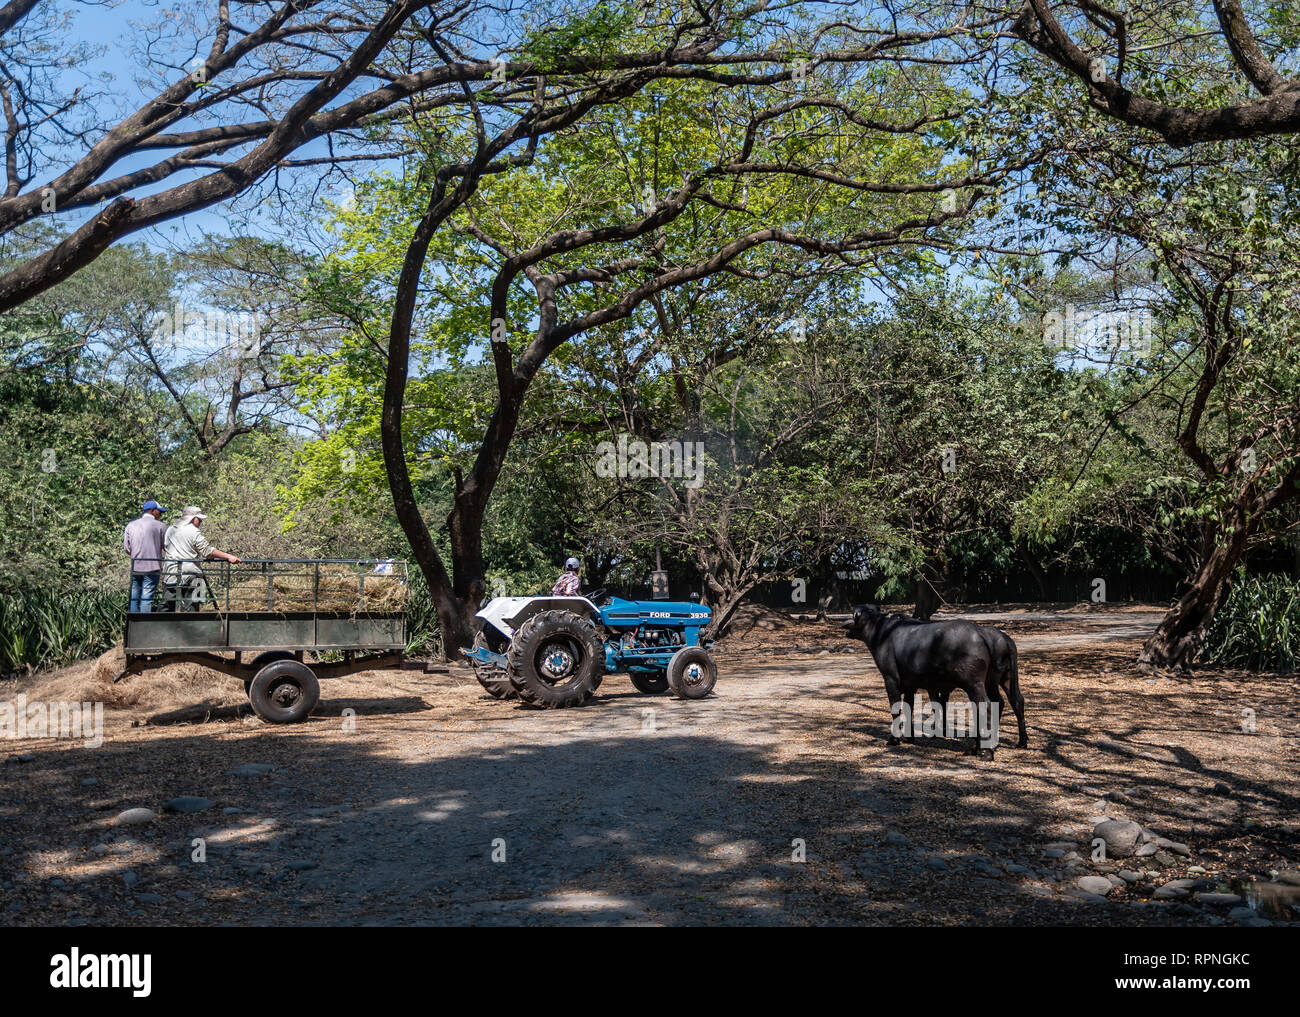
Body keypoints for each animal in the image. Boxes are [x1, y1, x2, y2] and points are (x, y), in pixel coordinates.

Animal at [842, 604, 1027, 758]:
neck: (882, 634)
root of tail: (981, 633)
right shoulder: (911, 686)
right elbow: (910, 708)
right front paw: (909, 737)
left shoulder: (891, 680)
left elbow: (897, 709)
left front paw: (894, 739)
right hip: (1000, 680)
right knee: (1013, 701)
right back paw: (1013, 742)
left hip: (974, 684)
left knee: (986, 706)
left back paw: (986, 750)